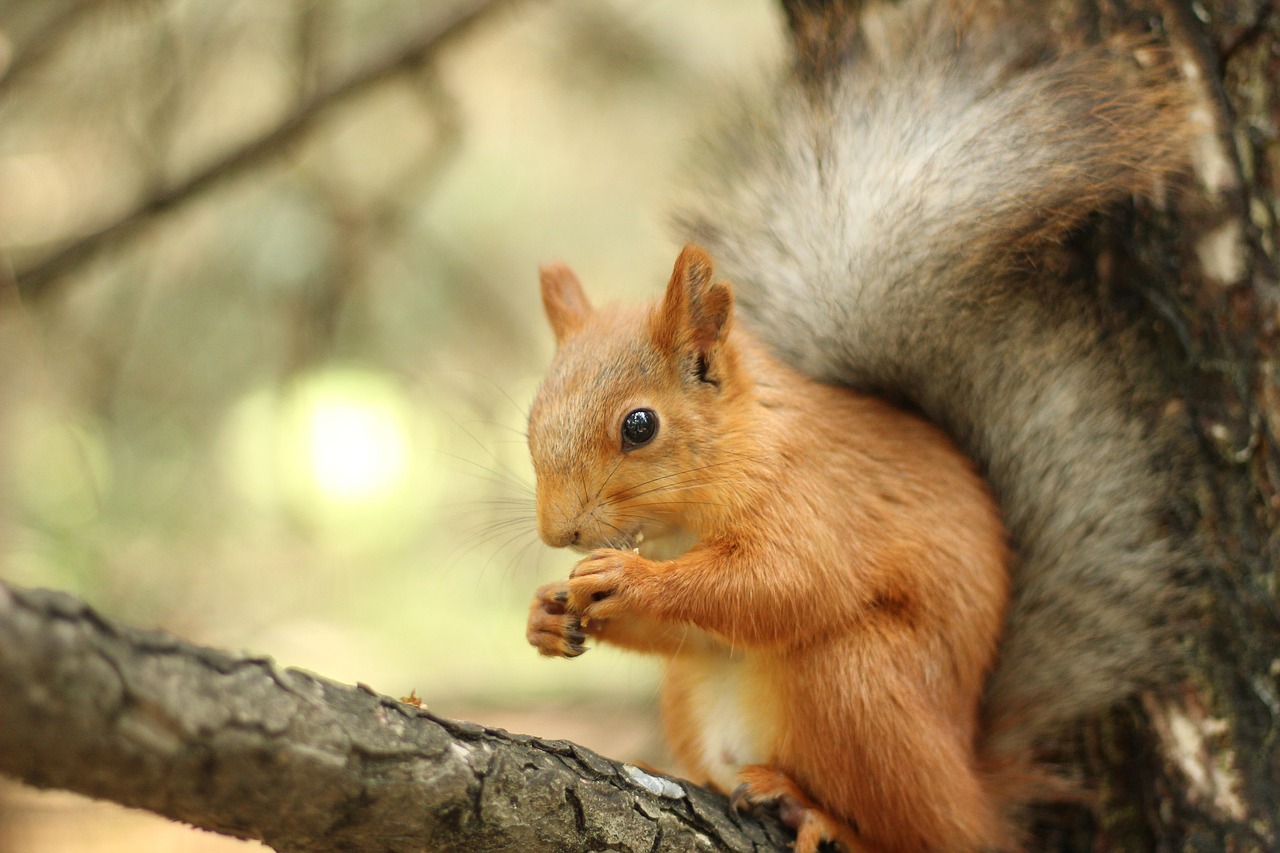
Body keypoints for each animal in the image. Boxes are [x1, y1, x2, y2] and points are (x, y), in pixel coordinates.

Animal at [524, 1, 1199, 851]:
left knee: (907, 826)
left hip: (857, 682)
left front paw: (633, 579)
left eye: (639, 425)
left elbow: (781, 584)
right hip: (705, 695)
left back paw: (814, 808)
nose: (559, 532)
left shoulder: (816, 499)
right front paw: (549, 612)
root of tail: (974, 792)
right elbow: (699, 630)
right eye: (530, 417)